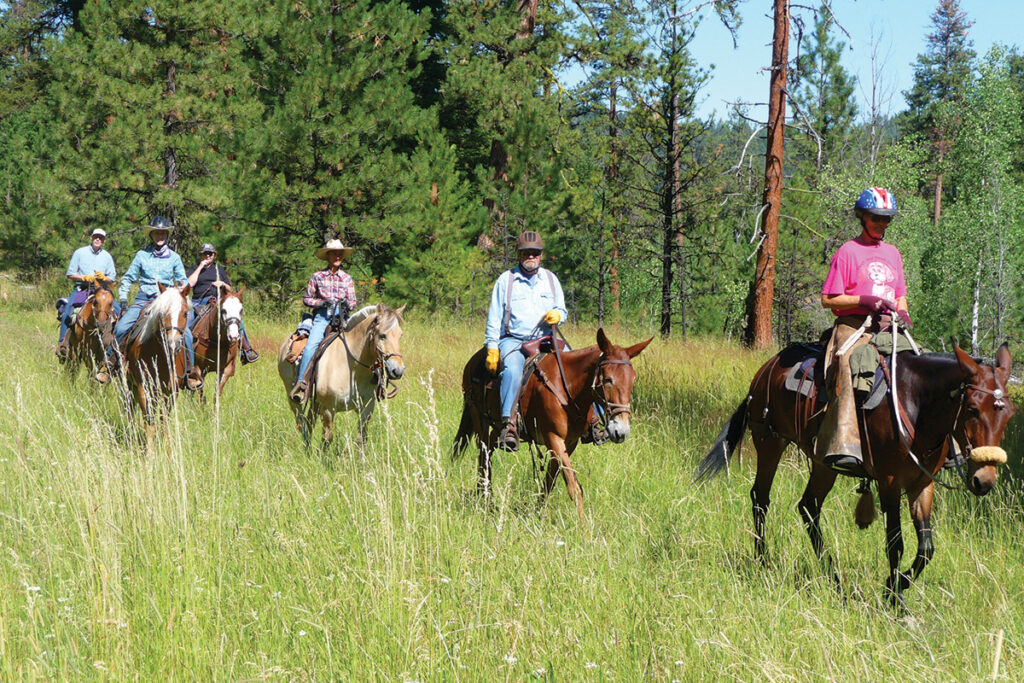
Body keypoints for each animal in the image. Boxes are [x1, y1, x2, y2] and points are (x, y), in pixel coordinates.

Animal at [120, 283, 192, 433]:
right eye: (162, 313)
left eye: (185, 313)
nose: (172, 344)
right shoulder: (144, 388)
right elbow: (149, 423)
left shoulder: (170, 392)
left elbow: (164, 422)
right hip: (129, 384)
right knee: (130, 409)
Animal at [277, 303, 406, 450]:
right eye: (382, 335)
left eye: (400, 335)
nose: (398, 370)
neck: (353, 370)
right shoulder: (328, 409)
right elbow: (327, 439)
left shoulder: (366, 408)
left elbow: (361, 440)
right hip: (293, 397)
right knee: (301, 422)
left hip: (315, 401)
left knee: (309, 422)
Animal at [453, 328, 653, 525]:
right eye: (609, 379)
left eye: (633, 380)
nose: (621, 431)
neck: (567, 388)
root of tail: (474, 359)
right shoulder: (554, 438)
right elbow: (573, 486)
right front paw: (584, 528)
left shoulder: (569, 443)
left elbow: (550, 481)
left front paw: (536, 515)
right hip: (478, 417)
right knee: (483, 457)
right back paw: (485, 500)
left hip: (496, 427)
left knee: (489, 451)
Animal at [695, 339, 1014, 608]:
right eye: (972, 409)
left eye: (1008, 413)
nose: (984, 481)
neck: (916, 406)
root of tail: (766, 369)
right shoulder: (889, 482)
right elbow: (895, 544)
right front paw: (895, 601)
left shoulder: (922, 485)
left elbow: (926, 549)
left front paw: (894, 587)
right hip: (769, 441)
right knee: (761, 499)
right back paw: (763, 561)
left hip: (823, 464)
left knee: (808, 507)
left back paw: (834, 578)